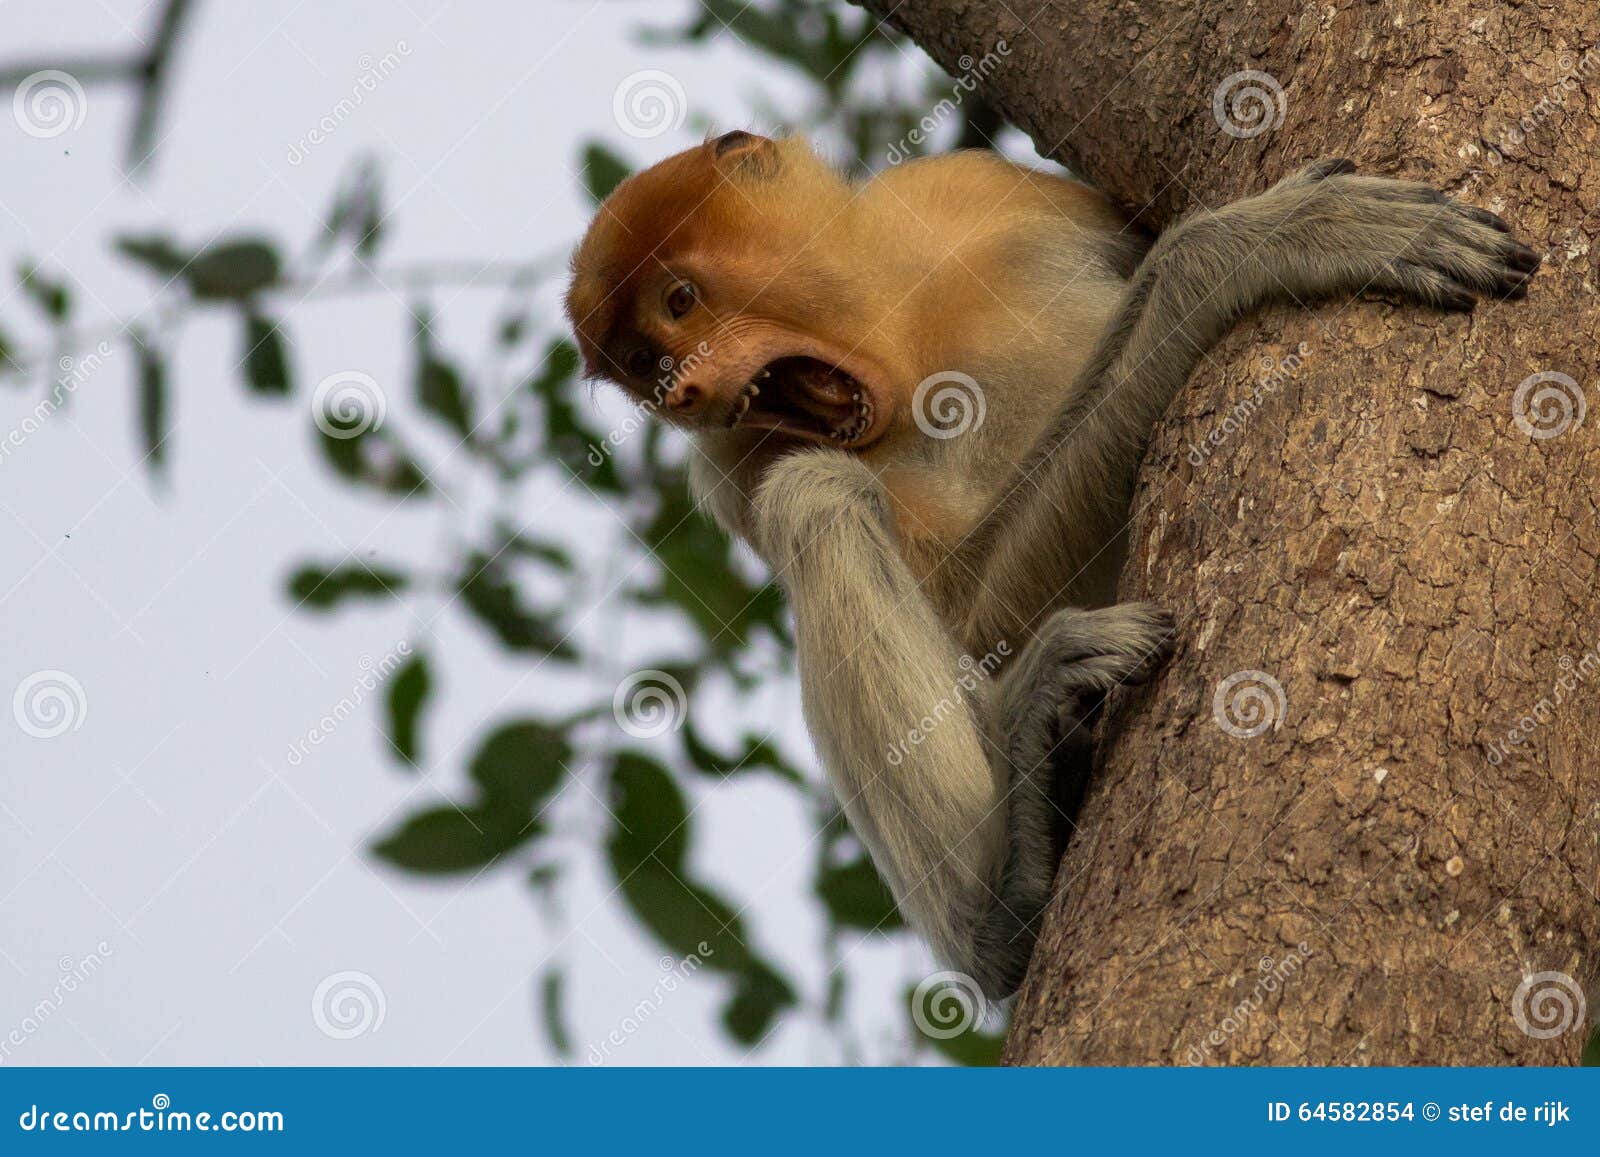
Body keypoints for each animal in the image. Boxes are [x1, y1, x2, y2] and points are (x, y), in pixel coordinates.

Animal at [565, 130, 1539, 999]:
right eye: (644, 368)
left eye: (679, 300)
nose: (684, 391)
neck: (905, 333)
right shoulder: (731, 463)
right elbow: (972, 615)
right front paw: (1265, 241)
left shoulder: (980, 186)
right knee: (816, 497)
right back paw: (1000, 902)